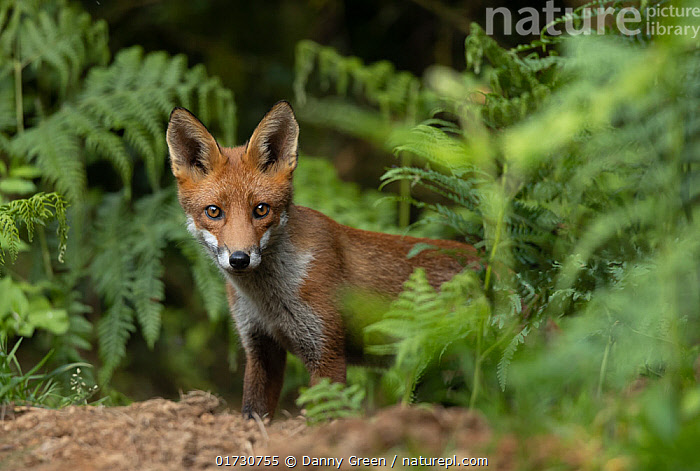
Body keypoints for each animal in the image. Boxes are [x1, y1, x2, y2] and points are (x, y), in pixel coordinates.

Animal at [166, 101, 478, 419]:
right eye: (214, 211)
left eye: (261, 209)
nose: (240, 259)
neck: (269, 302)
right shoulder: (261, 349)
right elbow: (253, 412)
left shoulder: (327, 352)